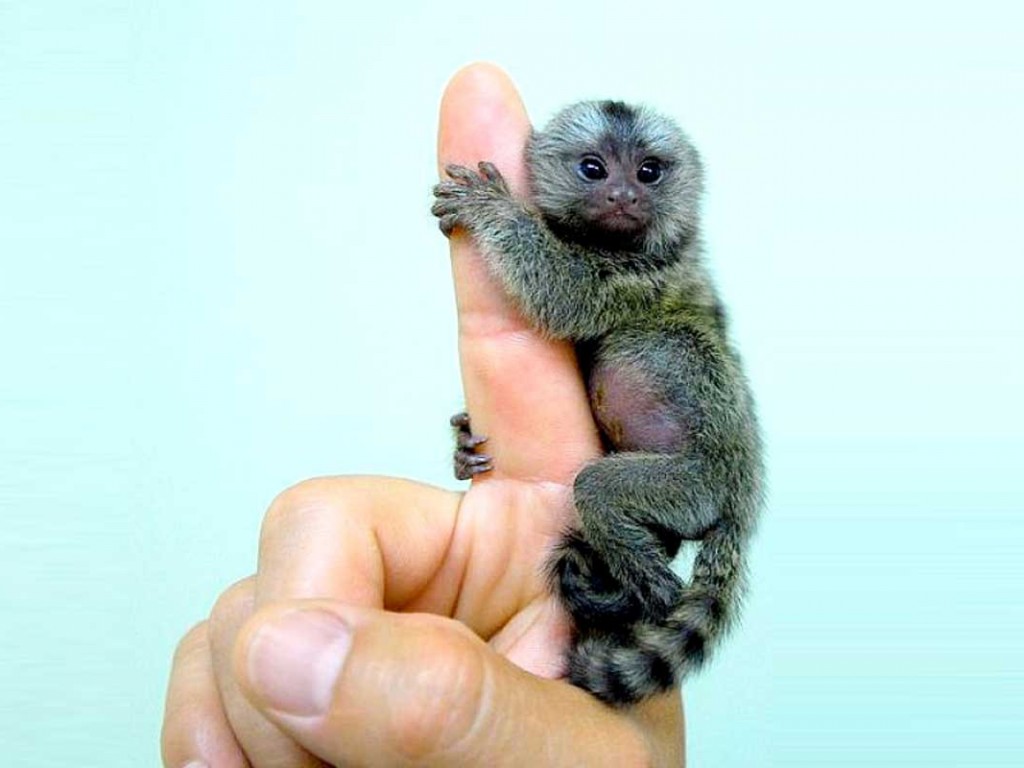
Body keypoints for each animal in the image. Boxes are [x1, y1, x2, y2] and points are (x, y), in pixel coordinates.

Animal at [432, 100, 763, 706]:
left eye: (648, 173)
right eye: (594, 169)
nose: (624, 196)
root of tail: (742, 505)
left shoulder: (644, 275)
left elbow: (565, 293)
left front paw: (494, 208)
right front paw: (463, 443)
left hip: (696, 487)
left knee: (601, 490)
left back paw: (645, 590)